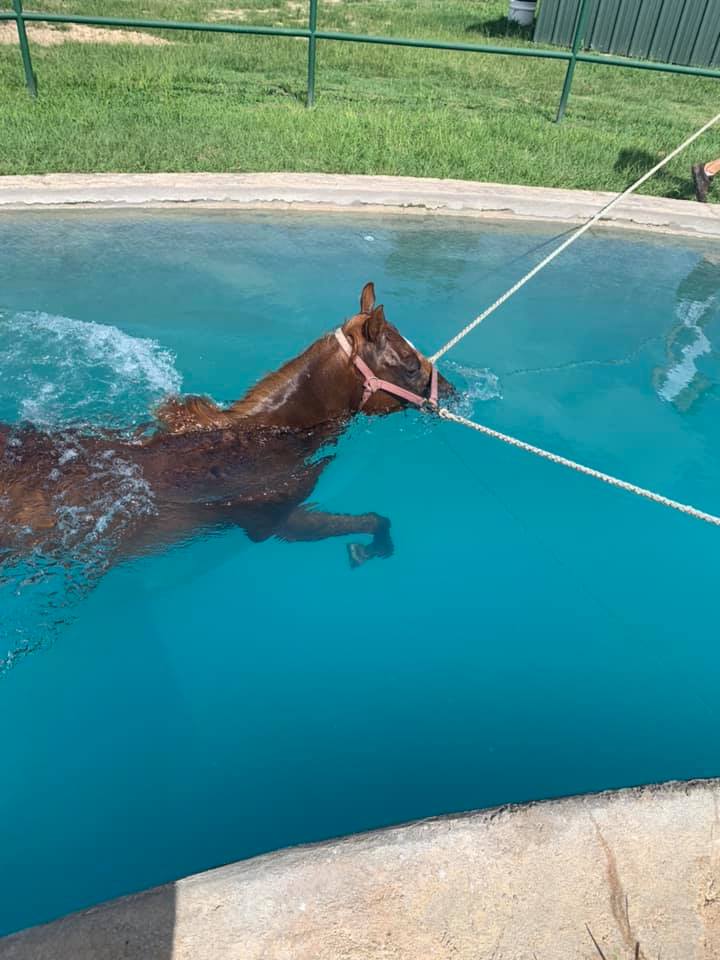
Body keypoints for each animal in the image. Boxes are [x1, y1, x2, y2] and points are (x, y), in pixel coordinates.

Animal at [0, 283, 453, 573]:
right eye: (409, 364)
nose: (449, 390)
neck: (272, 433)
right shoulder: (272, 521)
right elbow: (371, 520)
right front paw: (370, 549)